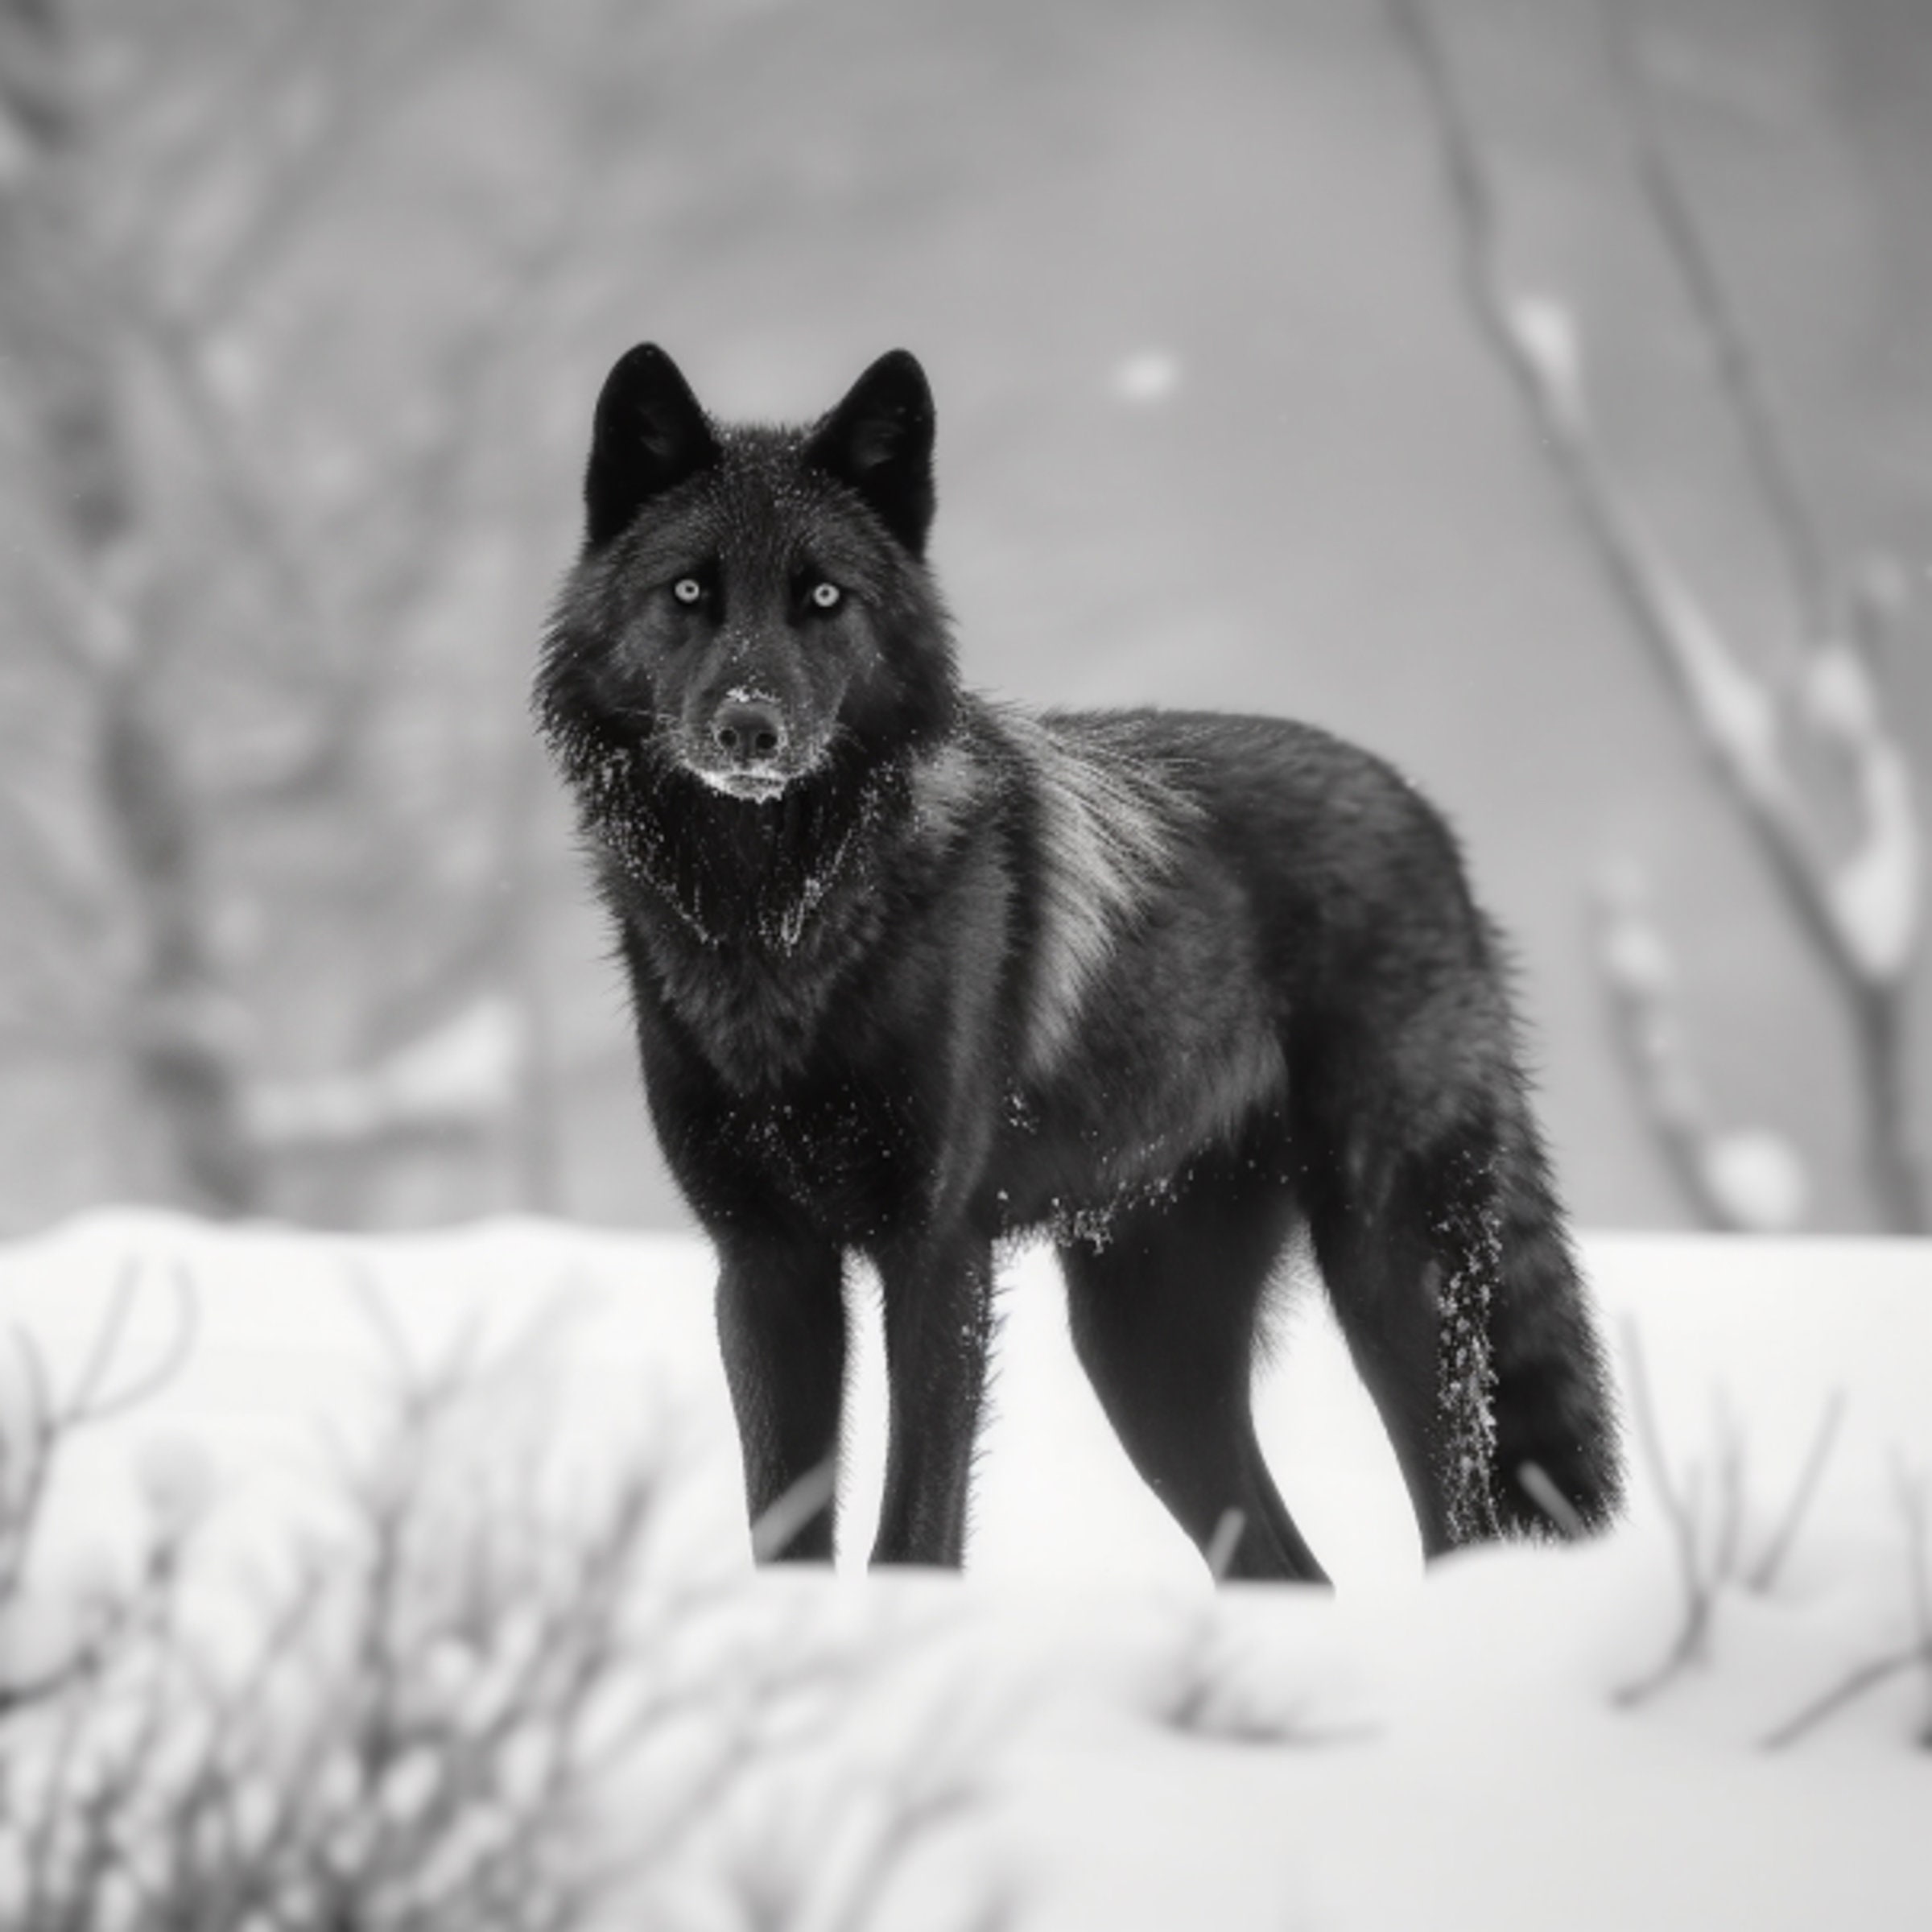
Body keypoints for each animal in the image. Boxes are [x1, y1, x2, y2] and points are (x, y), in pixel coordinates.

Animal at [537, 344, 1621, 1581]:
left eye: (822, 596)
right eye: (689, 592)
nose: (749, 729)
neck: (776, 921)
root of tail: (1427, 819)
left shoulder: (936, 1254)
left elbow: (912, 1532)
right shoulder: (764, 1267)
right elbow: (786, 1534)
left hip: (1393, 1280)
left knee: (1461, 1528)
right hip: (1145, 1355)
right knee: (1294, 1572)